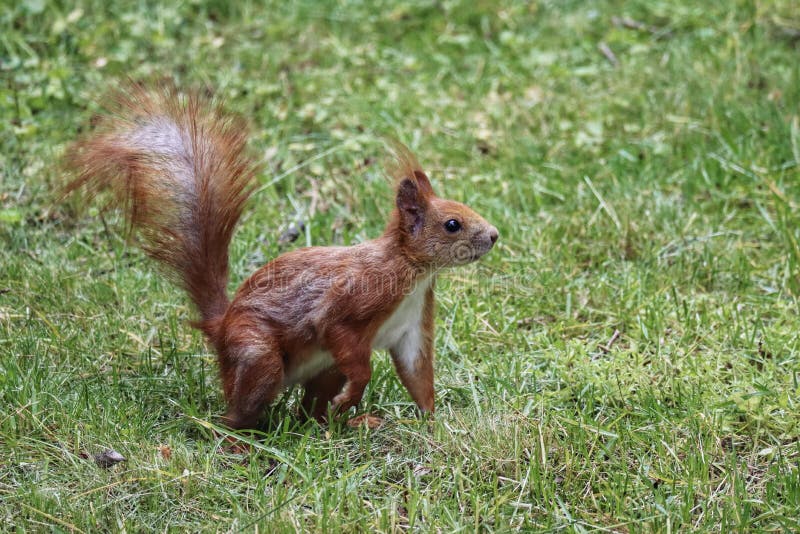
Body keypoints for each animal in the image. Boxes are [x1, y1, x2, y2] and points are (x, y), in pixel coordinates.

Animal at [64, 83, 498, 429]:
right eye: (453, 224)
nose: (494, 236)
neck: (412, 270)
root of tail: (221, 327)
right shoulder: (359, 295)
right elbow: (343, 338)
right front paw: (357, 393)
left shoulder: (412, 323)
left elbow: (416, 372)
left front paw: (434, 424)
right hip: (257, 354)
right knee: (238, 411)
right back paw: (239, 439)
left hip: (324, 369)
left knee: (310, 413)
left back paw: (346, 425)